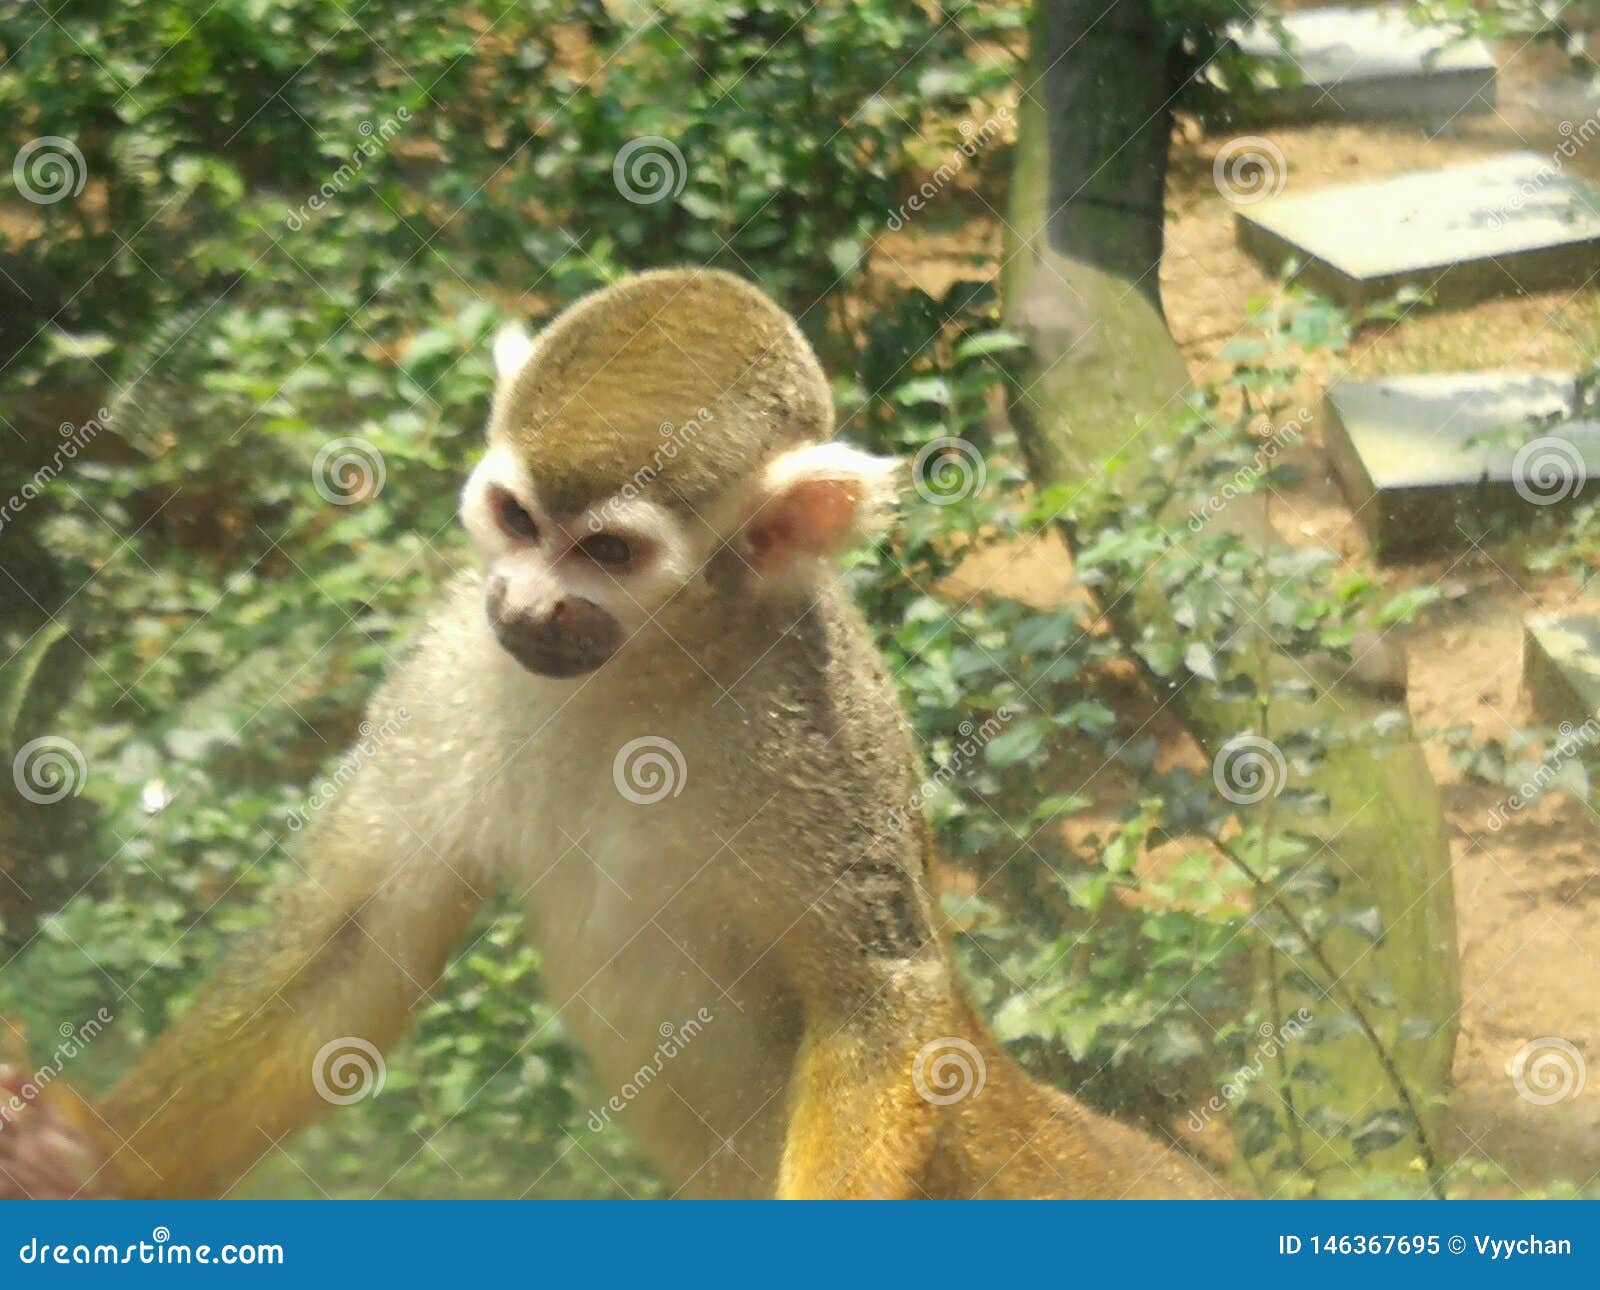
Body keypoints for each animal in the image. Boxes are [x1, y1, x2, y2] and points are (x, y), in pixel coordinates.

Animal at [0, 269, 1226, 1200]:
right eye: (516, 520)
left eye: (608, 554)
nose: (528, 606)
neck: (646, 677)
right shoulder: (459, 654)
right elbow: (360, 933)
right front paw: (90, 1163)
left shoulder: (817, 711)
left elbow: (872, 991)